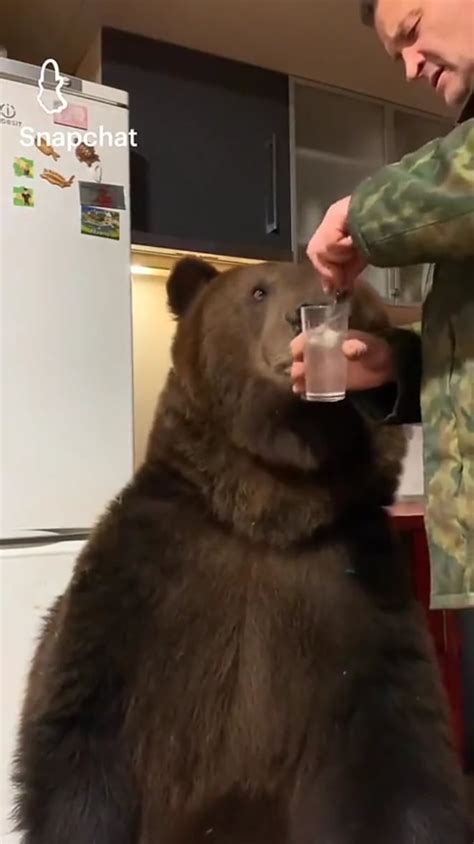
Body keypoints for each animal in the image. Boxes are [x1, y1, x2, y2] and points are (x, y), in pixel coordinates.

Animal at [12, 258, 469, 844]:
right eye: (257, 291)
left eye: (342, 296)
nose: (300, 318)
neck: (267, 514)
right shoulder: (144, 579)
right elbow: (82, 733)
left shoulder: (360, 596)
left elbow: (400, 765)